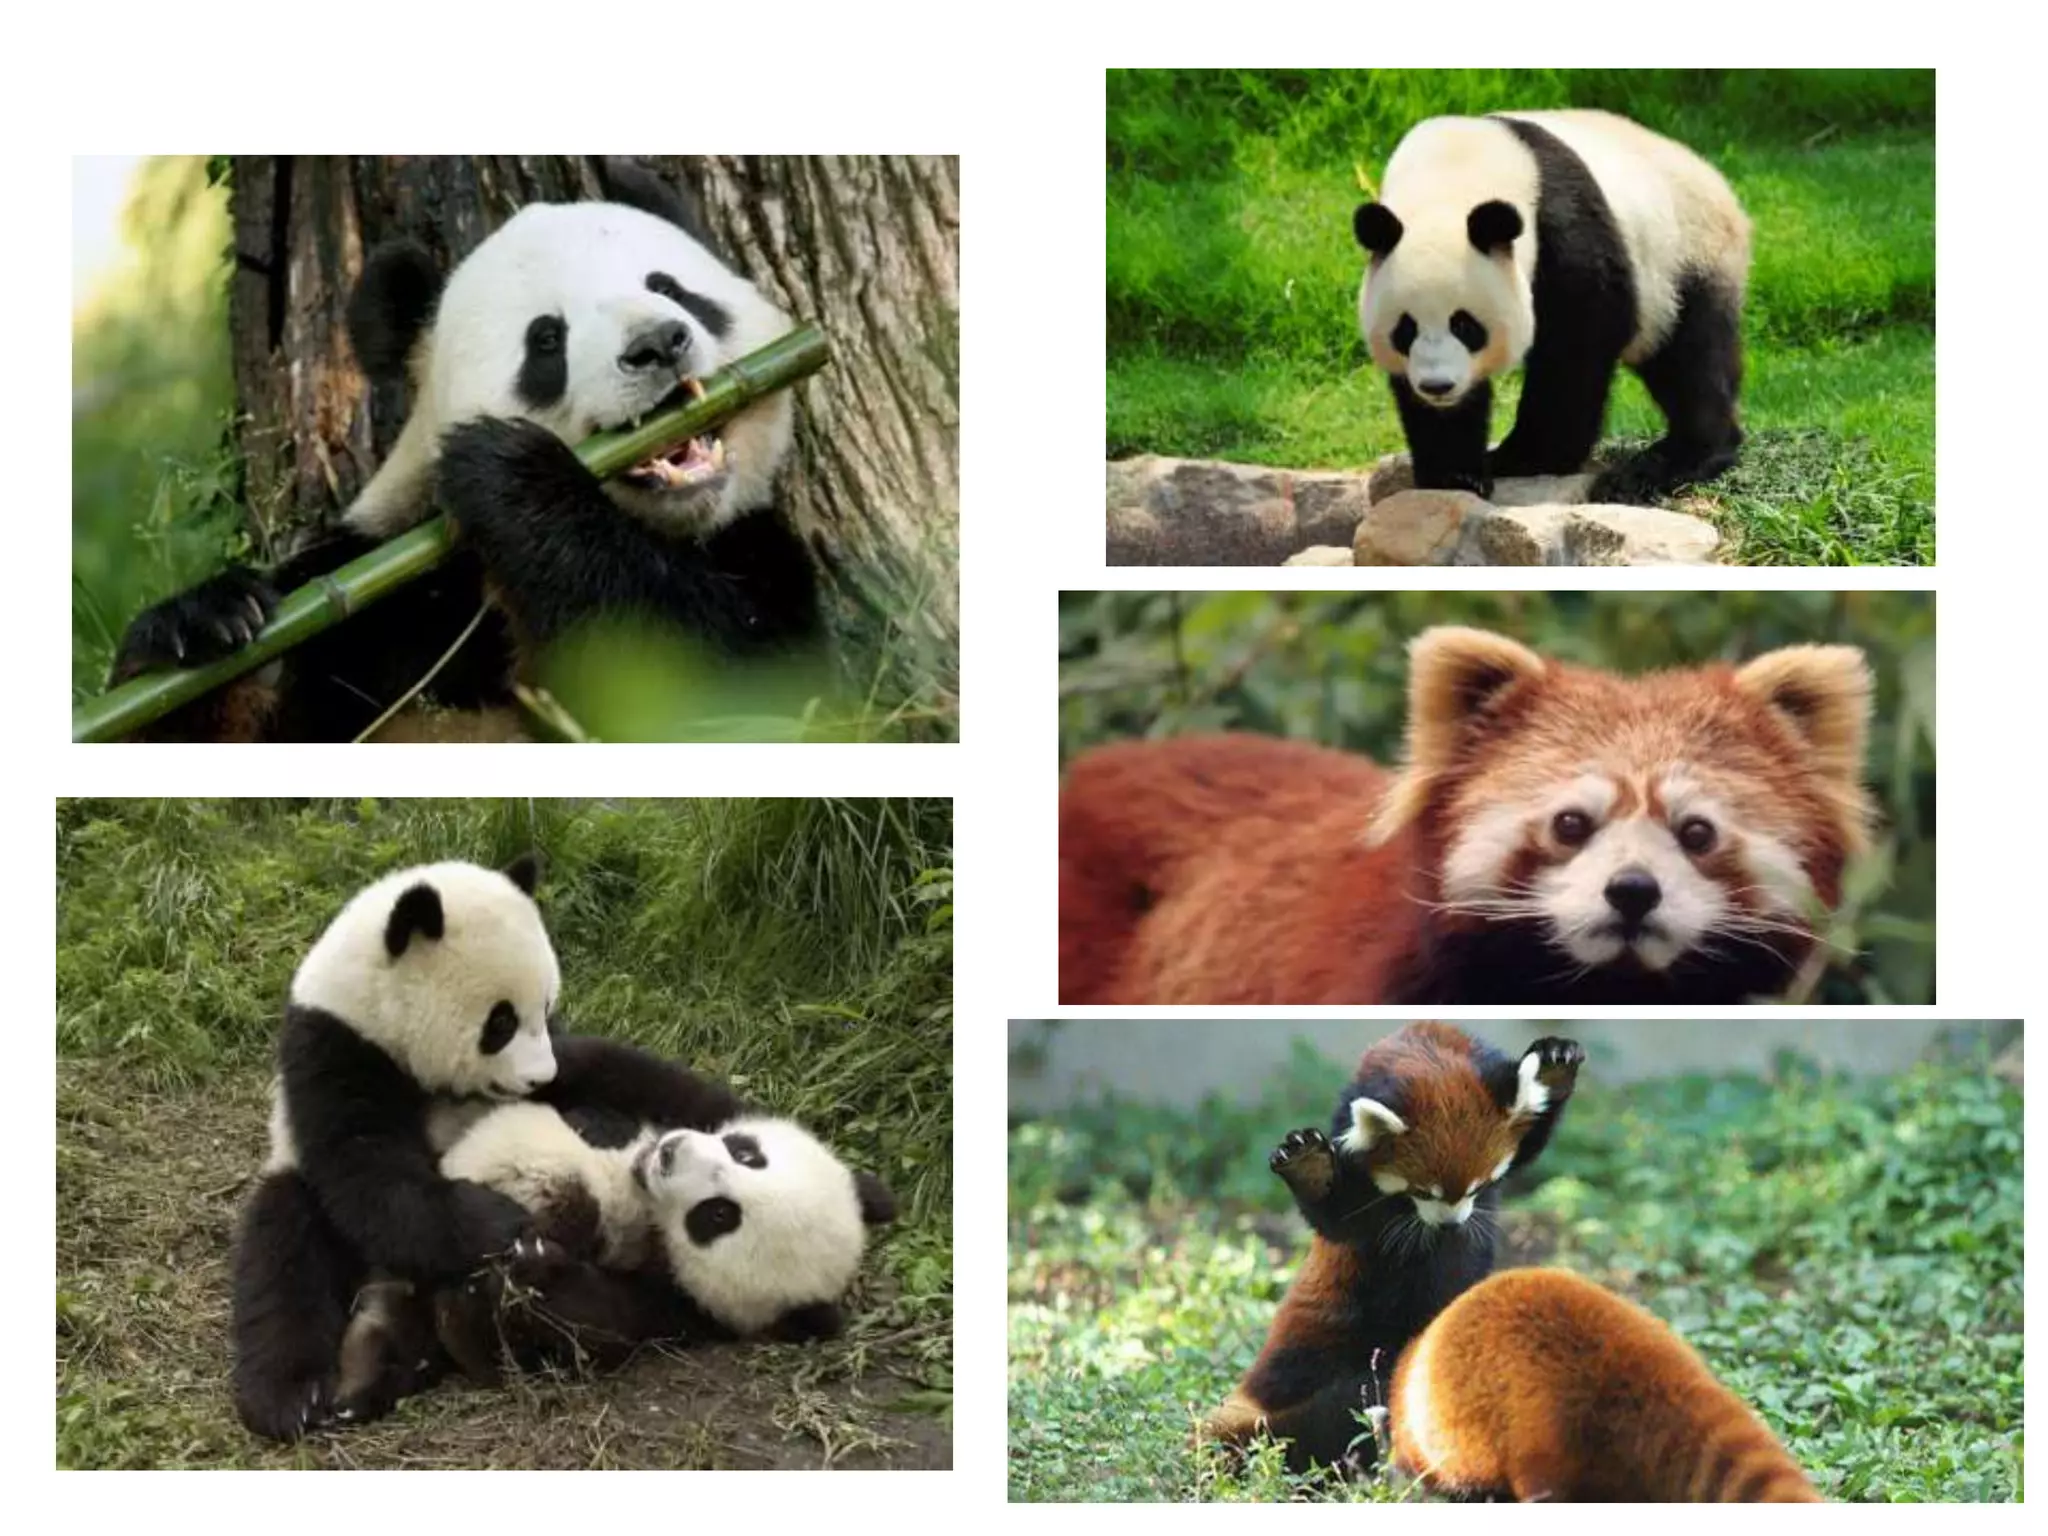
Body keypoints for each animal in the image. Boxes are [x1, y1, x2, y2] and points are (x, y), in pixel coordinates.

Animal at [111, 159, 822, 742]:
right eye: (546, 339)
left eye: (669, 287)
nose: (658, 344)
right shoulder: (379, 599)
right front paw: (200, 626)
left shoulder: (761, 556)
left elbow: (730, 684)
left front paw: (510, 474)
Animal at [230, 855, 561, 1441]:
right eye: (500, 1022)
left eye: (545, 1008)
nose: (541, 1078)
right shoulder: (334, 1049)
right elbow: (367, 1172)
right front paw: (499, 1220)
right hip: (293, 1189)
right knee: (283, 1256)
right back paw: (297, 1395)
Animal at [1354, 110, 1750, 504]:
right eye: (1405, 329)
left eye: (1465, 325)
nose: (1438, 386)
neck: (1451, 174)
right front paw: (1455, 474)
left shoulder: (1563, 231)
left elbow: (1577, 343)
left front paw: (1527, 457)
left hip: (1685, 260)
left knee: (1690, 357)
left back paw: (1671, 462)